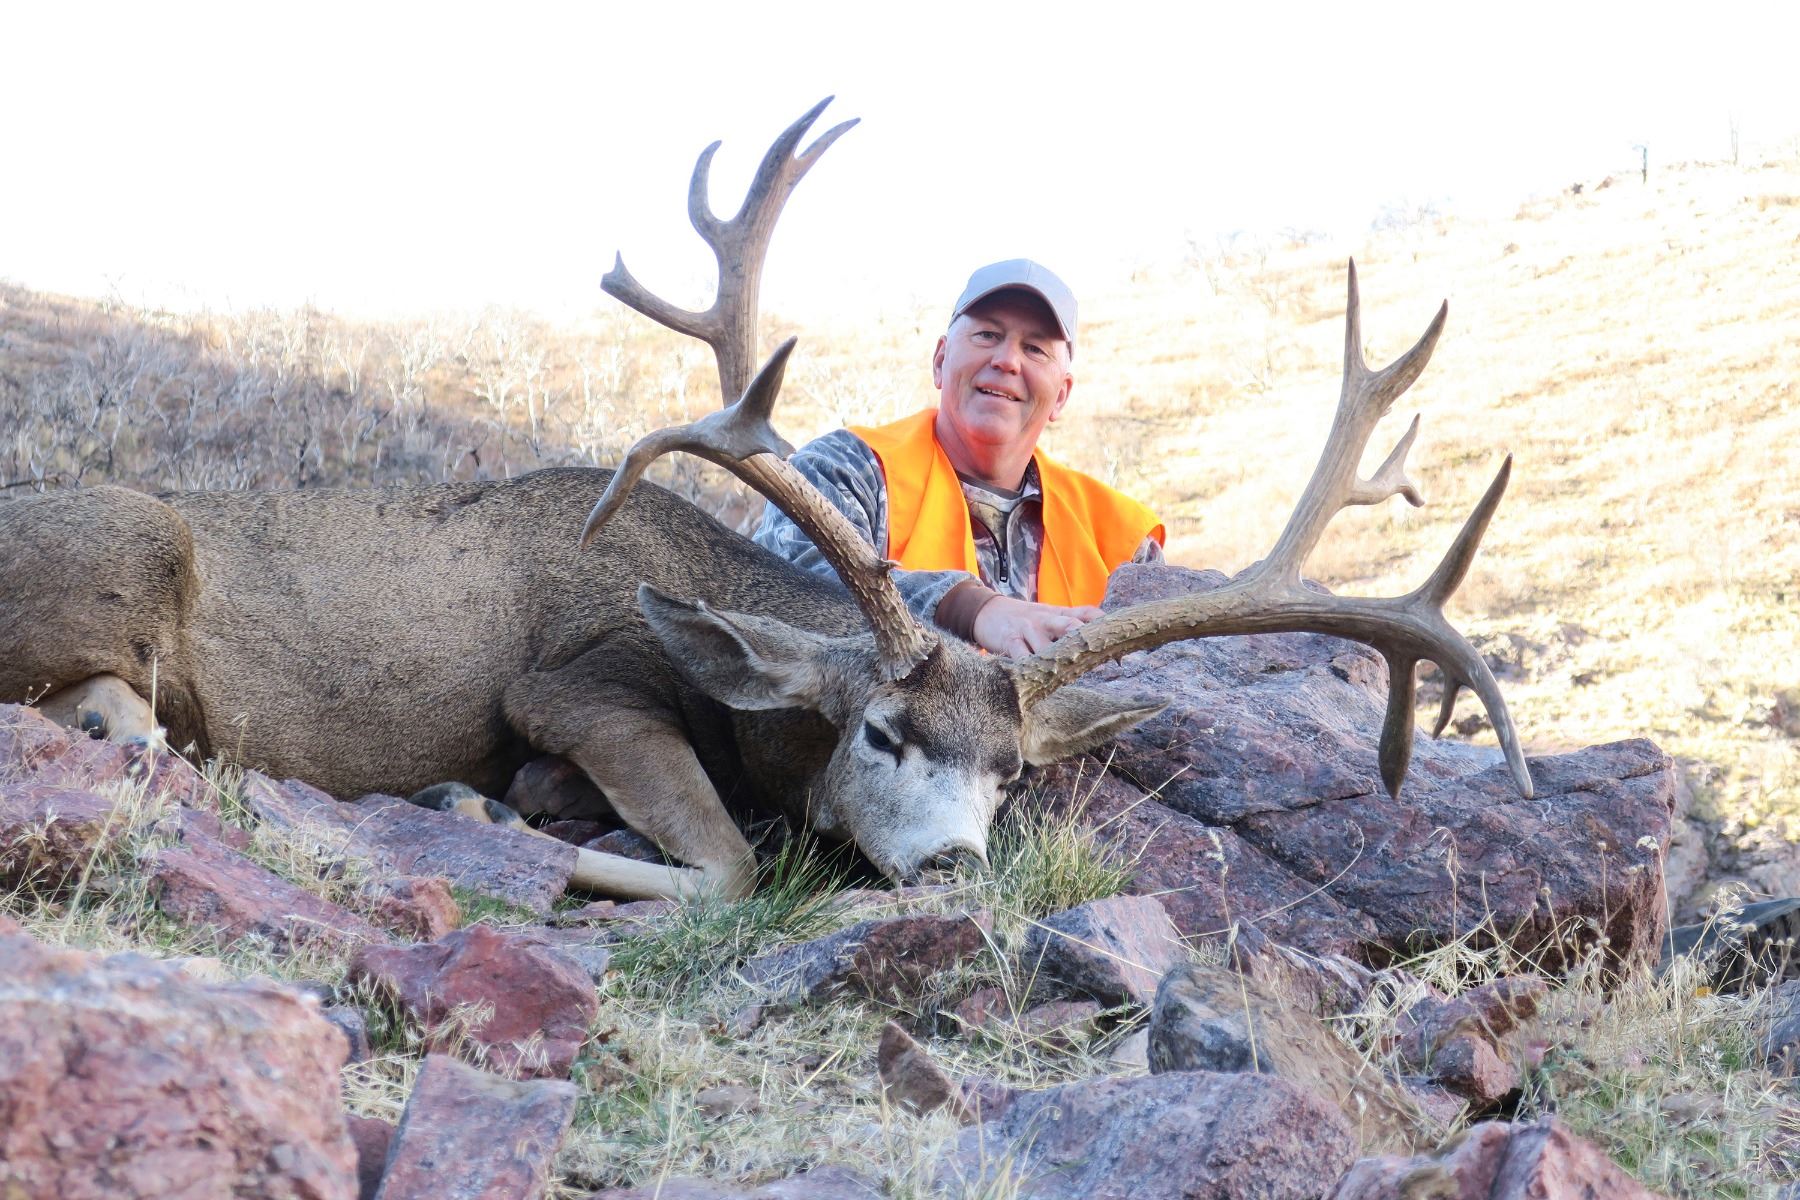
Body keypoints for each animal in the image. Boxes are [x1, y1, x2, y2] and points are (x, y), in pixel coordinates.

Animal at [0, 99, 1531, 902]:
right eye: (880, 732)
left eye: (1014, 772)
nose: (955, 870)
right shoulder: (576, 683)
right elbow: (733, 865)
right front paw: (506, 821)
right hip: (128, 535)